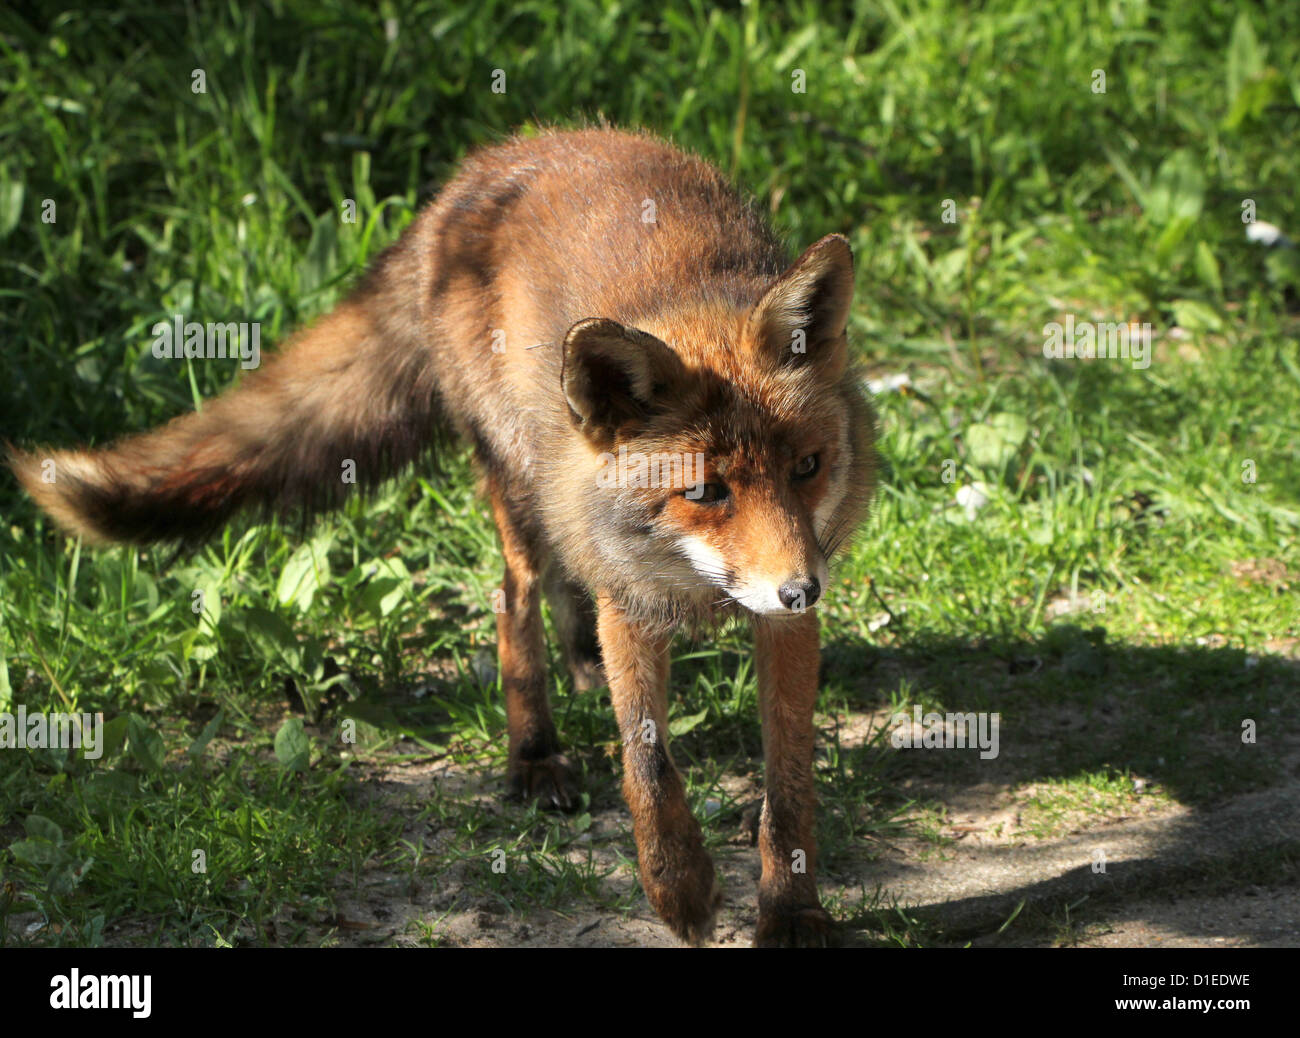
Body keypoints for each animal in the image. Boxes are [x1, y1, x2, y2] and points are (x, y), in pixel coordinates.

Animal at [9, 127, 878, 948]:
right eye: (704, 492)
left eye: (807, 467)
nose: (803, 588)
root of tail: (493, 160)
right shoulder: (633, 597)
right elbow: (649, 766)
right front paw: (679, 890)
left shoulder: (779, 624)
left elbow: (788, 786)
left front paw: (792, 911)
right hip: (516, 480)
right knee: (513, 597)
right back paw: (534, 753)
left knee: (565, 590)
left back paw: (580, 664)